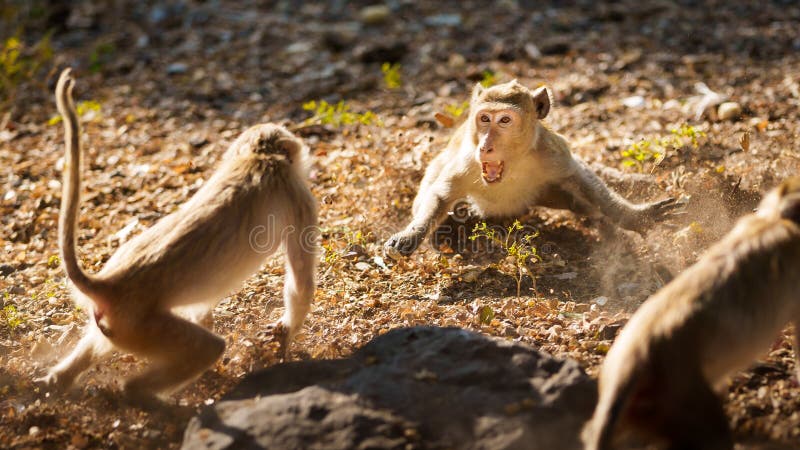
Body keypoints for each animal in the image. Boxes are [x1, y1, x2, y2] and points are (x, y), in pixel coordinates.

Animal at [36, 68, 318, 401]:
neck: (257, 158)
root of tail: (109, 283)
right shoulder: (297, 194)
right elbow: (301, 281)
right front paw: (285, 336)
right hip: (138, 324)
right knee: (206, 349)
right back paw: (140, 394)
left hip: (117, 323)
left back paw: (59, 381)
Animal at [384, 80, 678, 258]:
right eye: (484, 119)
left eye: (504, 120)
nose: (486, 147)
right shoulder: (468, 160)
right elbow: (441, 195)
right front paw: (411, 235)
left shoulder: (550, 153)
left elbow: (580, 178)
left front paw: (635, 217)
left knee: (580, 201)